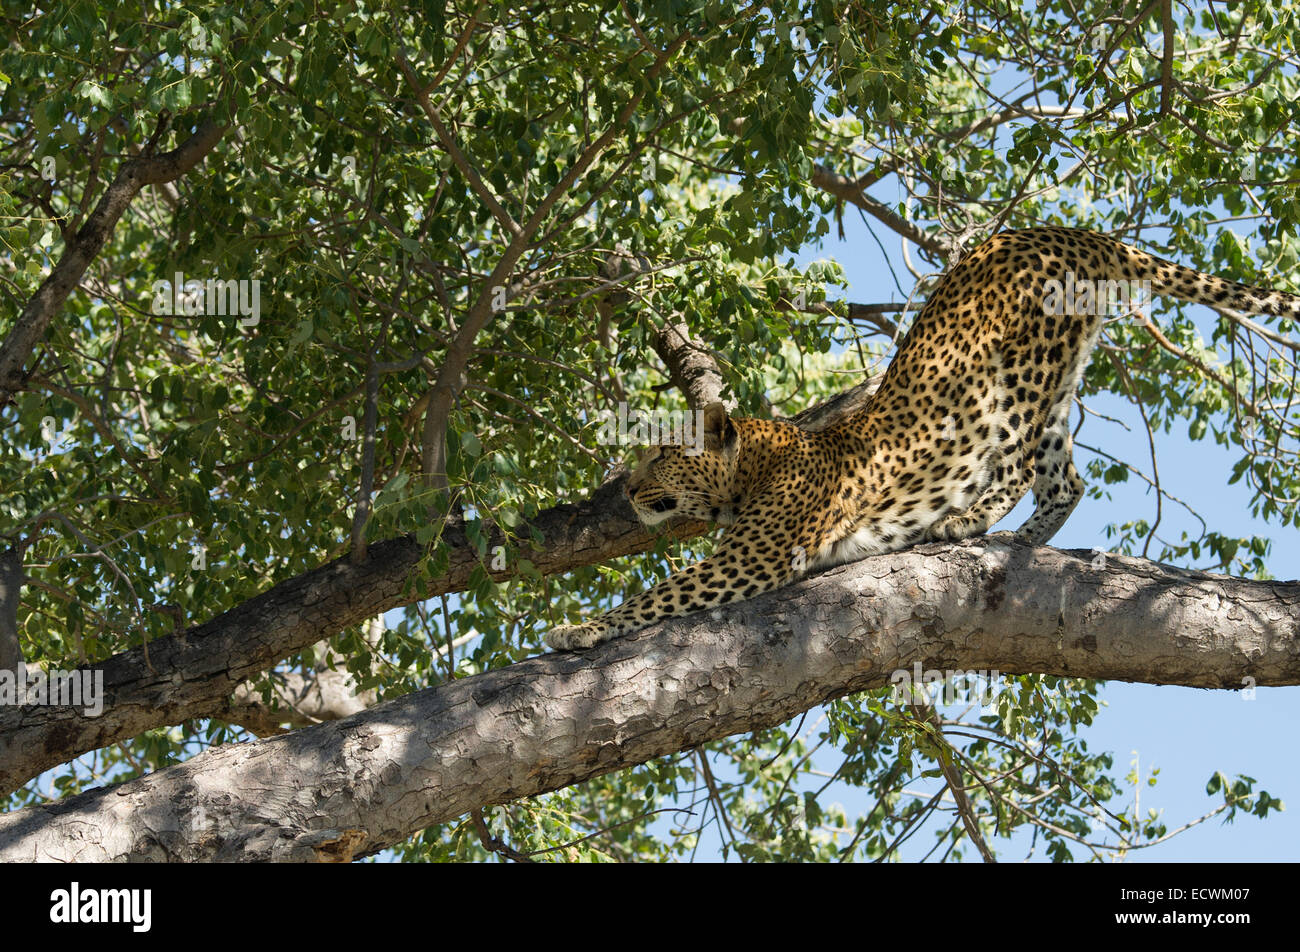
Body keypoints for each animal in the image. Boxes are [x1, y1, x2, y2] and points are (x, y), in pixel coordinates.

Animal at [546, 226, 1300, 651]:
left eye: (664, 454)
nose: (630, 491)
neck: (755, 465)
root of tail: (1070, 232)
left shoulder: (752, 558)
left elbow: (659, 593)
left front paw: (577, 630)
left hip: (1014, 379)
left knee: (1014, 464)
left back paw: (963, 520)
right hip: (1057, 376)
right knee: (1065, 478)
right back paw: (1022, 538)